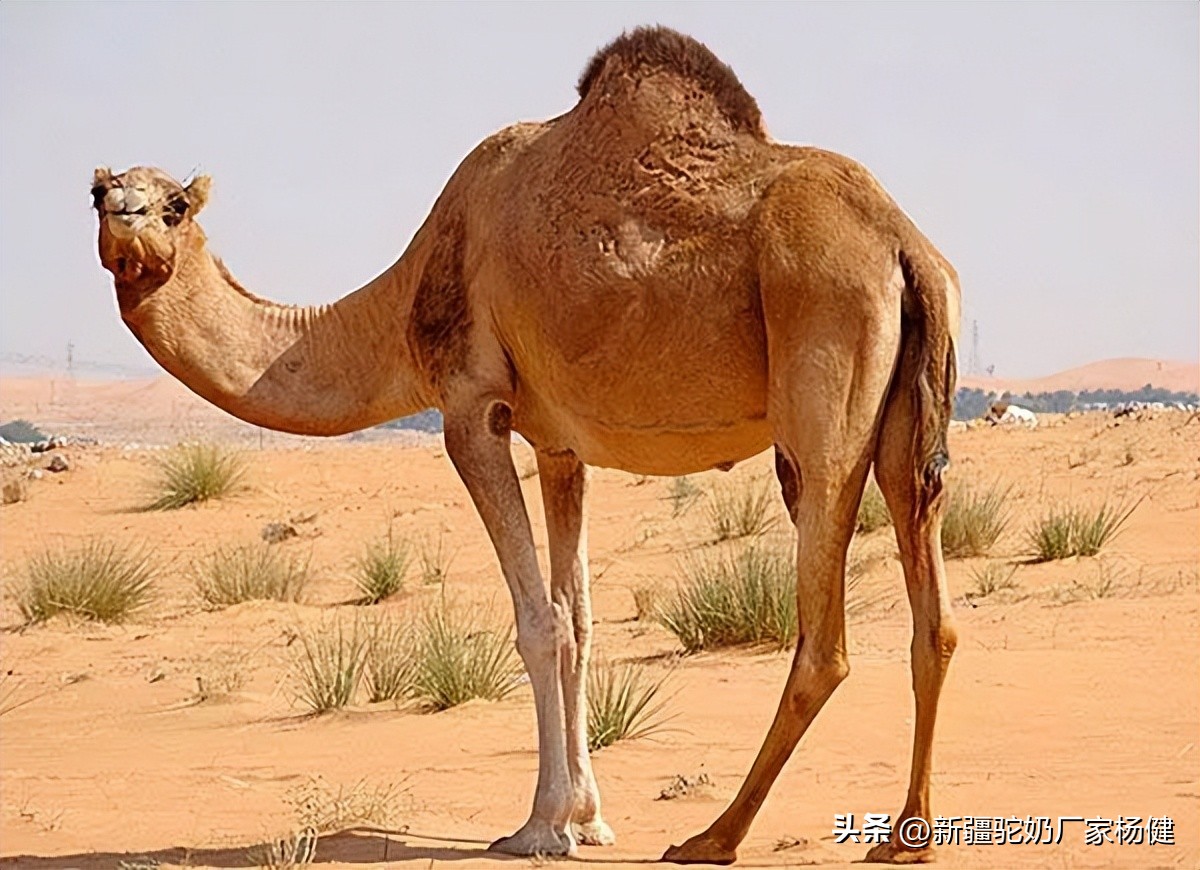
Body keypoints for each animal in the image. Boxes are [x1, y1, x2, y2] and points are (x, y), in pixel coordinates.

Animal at [91, 26, 961, 865]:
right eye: (98, 192)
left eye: (174, 205)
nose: (125, 218)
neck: (401, 302)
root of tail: (904, 245)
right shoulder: (559, 446)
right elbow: (579, 619)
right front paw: (589, 818)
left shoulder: (471, 408)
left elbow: (539, 621)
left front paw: (541, 827)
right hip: (905, 418)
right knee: (934, 612)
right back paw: (903, 836)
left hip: (822, 369)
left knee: (824, 638)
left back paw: (714, 838)